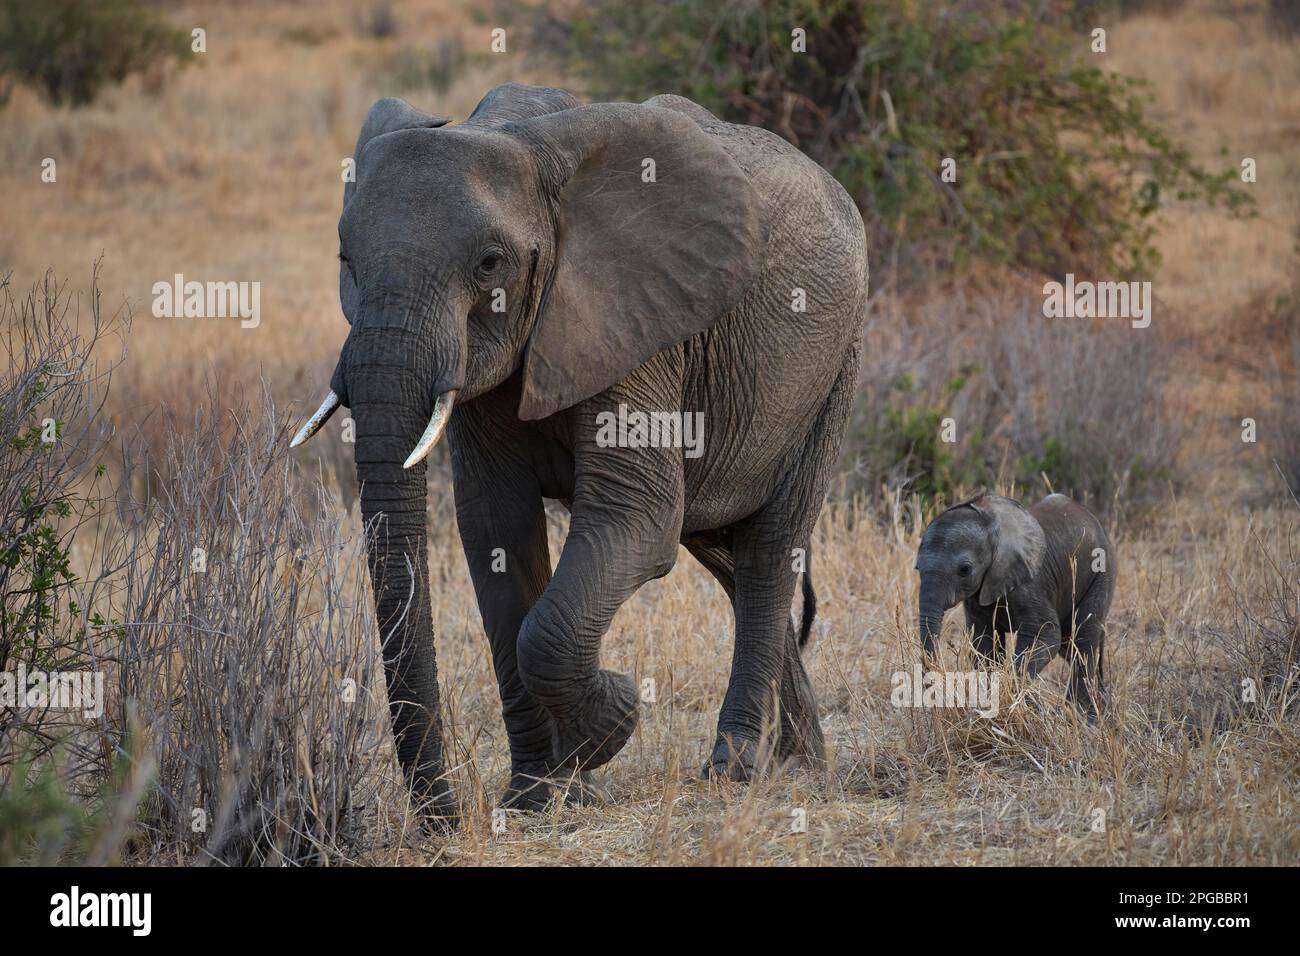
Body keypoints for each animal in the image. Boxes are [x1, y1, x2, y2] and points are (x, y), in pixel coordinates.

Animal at [290, 84, 868, 822]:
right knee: (726, 555)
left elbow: (634, 520)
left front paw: (611, 725)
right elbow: (495, 530)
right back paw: (800, 760)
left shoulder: (639, 321)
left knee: (770, 548)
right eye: (346, 263)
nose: (443, 815)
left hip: (835, 362)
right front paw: (538, 795)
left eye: (490, 264)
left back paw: (736, 769)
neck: (519, 143)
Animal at [914, 493, 1115, 719]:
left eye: (964, 570)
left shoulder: (1031, 584)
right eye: (918, 568)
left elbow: (1043, 635)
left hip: (1102, 572)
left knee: (1083, 640)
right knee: (1070, 647)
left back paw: (1081, 717)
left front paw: (1023, 707)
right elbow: (986, 646)